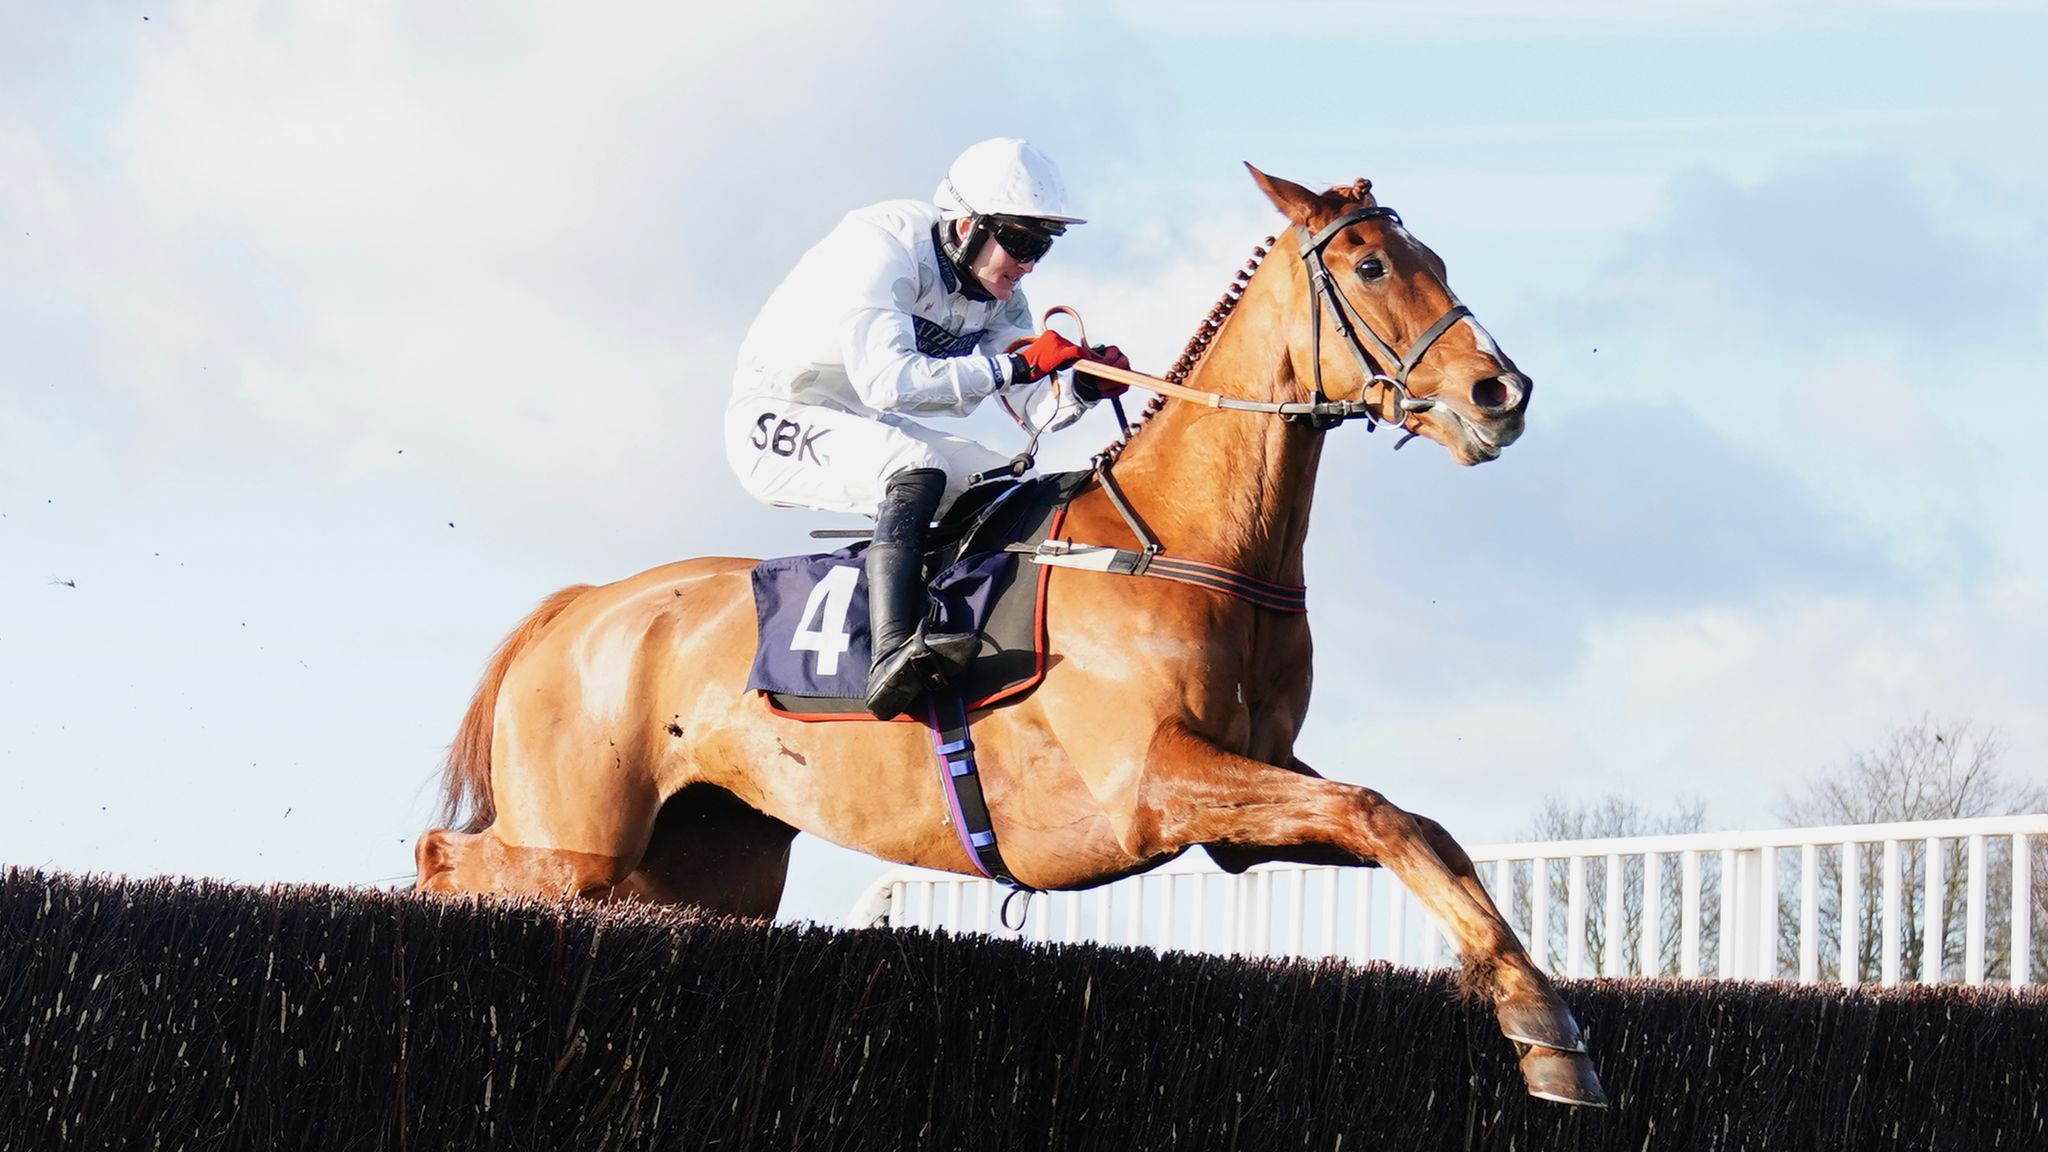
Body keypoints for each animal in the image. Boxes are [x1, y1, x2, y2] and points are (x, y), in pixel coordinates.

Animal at [415, 164, 1604, 1106]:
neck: (1178, 542)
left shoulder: (1245, 791)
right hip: (574, 844)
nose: (1499, 391)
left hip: (705, 870)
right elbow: (1377, 812)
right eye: (1368, 268)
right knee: (443, 858)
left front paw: (1544, 1025)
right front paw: (1537, 1021)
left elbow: (1418, 827)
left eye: (1432, 256)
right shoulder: (1153, 784)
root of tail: (580, 604)